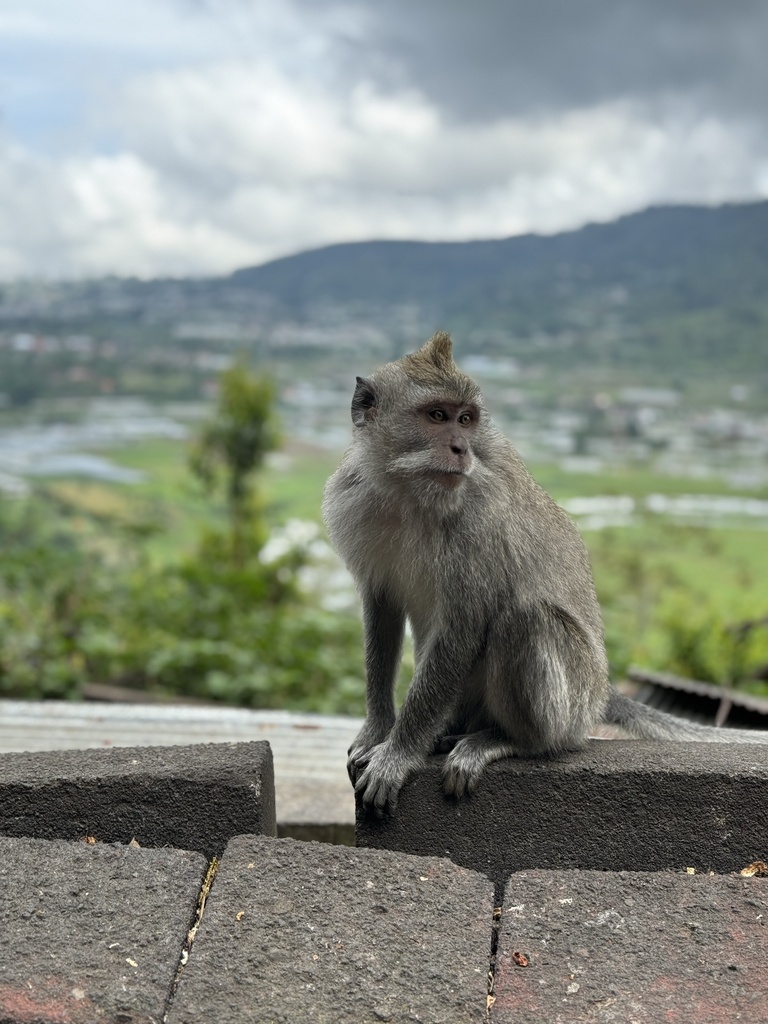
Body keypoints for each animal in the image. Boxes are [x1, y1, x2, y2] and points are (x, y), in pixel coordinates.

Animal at [322, 331, 768, 816]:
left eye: (466, 419)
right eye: (437, 415)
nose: (462, 448)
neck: (410, 494)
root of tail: (601, 692)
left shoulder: (477, 525)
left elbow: (462, 626)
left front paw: (398, 755)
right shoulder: (354, 500)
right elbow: (381, 614)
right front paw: (377, 731)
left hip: (573, 703)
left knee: (528, 619)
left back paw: (512, 741)